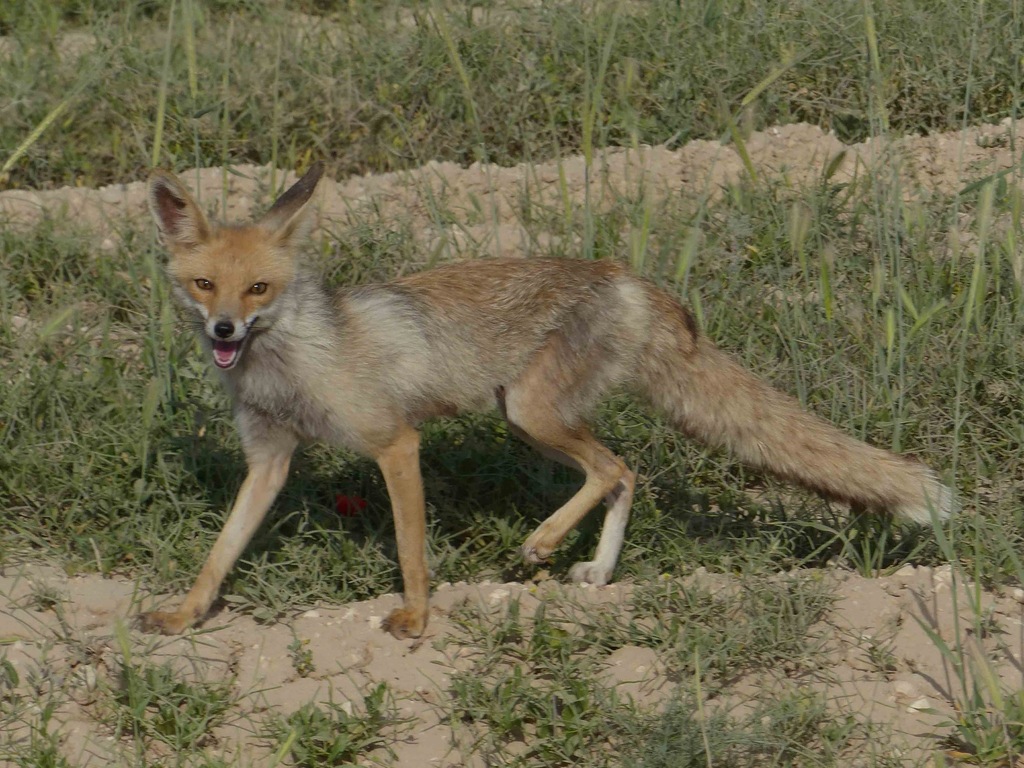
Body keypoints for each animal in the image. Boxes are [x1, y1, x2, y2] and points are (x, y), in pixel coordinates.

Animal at [140, 161, 954, 638]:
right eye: (205, 284)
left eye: (258, 289)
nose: (223, 330)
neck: (292, 361)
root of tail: (629, 276)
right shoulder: (269, 459)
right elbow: (219, 552)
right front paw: (184, 615)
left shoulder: (395, 442)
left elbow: (409, 548)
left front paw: (417, 616)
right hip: (530, 418)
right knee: (625, 474)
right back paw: (597, 572)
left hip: (530, 413)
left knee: (614, 468)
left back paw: (545, 542)